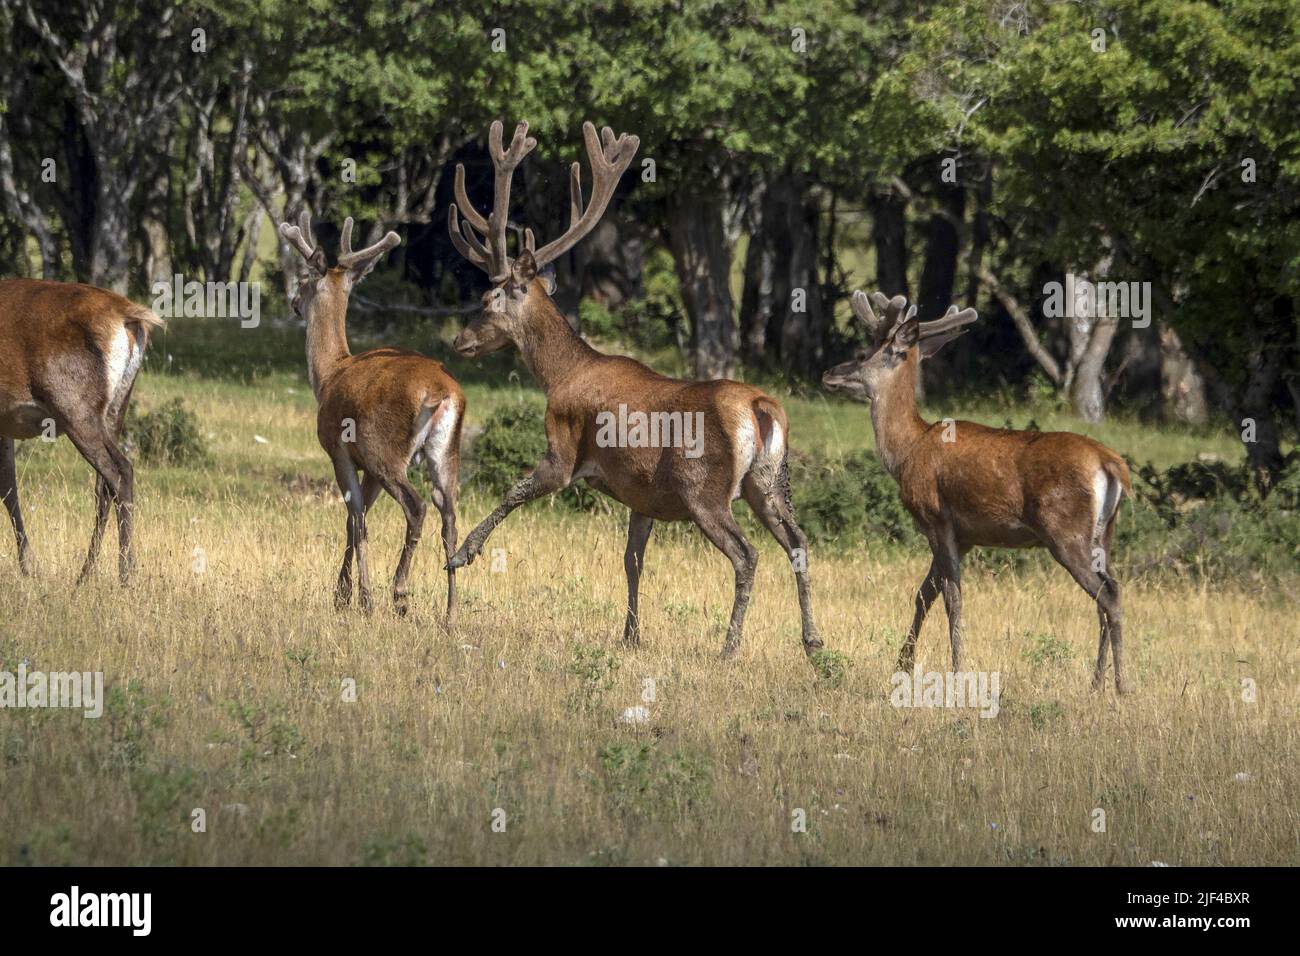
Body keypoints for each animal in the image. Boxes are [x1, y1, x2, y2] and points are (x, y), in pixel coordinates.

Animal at [0, 278, 163, 584]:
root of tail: (130, 317)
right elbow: (9, 487)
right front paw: (29, 566)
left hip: (75, 406)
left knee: (120, 470)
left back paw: (125, 573)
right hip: (115, 409)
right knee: (103, 487)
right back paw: (86, 573)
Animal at [278, 214, 465, 625]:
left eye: (304, 280)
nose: (293, 302)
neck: (330, 374)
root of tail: (442, 393)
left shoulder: (340, 450)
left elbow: (357, 517)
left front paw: (359, 596)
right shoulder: (366, 467)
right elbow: (354, 520)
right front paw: (342, 593)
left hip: (385, 449)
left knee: (417, 507)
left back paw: (399, 595)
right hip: (446, 454)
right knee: (449, 515)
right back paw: (450, 613)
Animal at [444, 119, 822, 661]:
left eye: (487, 299)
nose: (460, 340)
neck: (563, 374)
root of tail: (759, 408)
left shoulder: (564, 449)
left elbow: (515, 490)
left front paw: (460, 554)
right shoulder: (642, 495)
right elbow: (632, 559)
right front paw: (630, 634)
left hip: (705, 489)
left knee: (747, 555)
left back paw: (729, 648)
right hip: (769, 481)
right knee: (798, 543)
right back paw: (812, 643)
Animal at [822, 291, 1131, 693]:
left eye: (864, 353)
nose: (829, 373)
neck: (907, 451)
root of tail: (1110, 465)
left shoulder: (936, 518)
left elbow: (952, 599)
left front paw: (957, 671)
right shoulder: (966, 535)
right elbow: (924, 595)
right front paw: (902, 665)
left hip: (1066, 531)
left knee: (1108, 595)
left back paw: (1121, 686)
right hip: (1104, 535)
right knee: (1108, 594)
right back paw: (1095, 684)